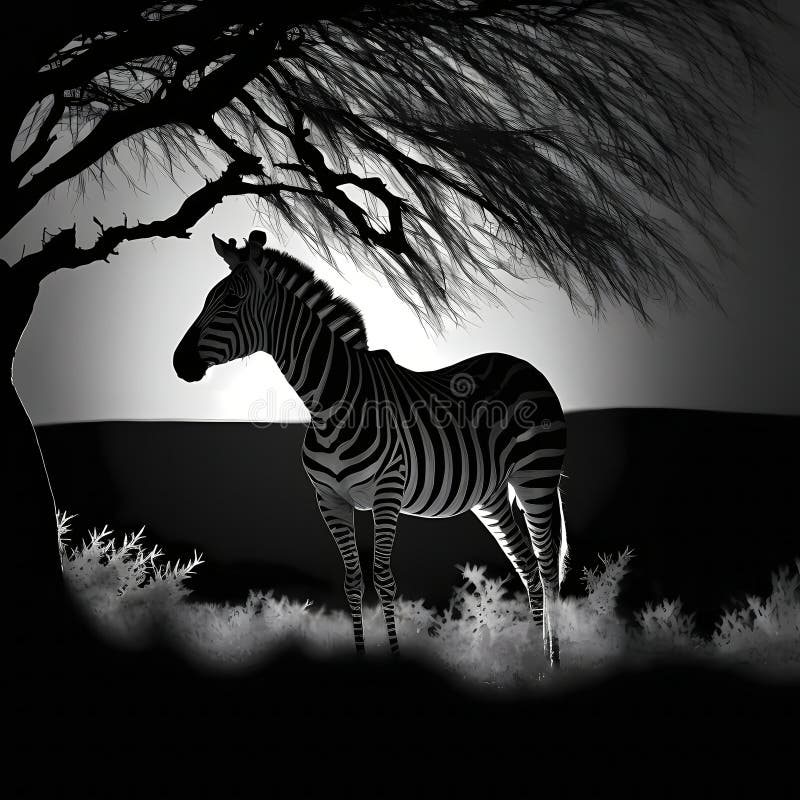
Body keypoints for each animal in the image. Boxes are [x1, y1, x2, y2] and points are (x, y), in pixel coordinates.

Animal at [174, 229, 568, 666]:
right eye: (207, 298)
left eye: (230, 301)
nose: (178, 363)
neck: (331, 405)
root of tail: (523, 363)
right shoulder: (329, 499)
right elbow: (352, 582)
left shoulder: (387, 492)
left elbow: (383, 578)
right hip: (491, 494)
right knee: (528, 568)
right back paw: (530, 660)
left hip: (536, 476)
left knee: (548, 568)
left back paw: (551, 664)